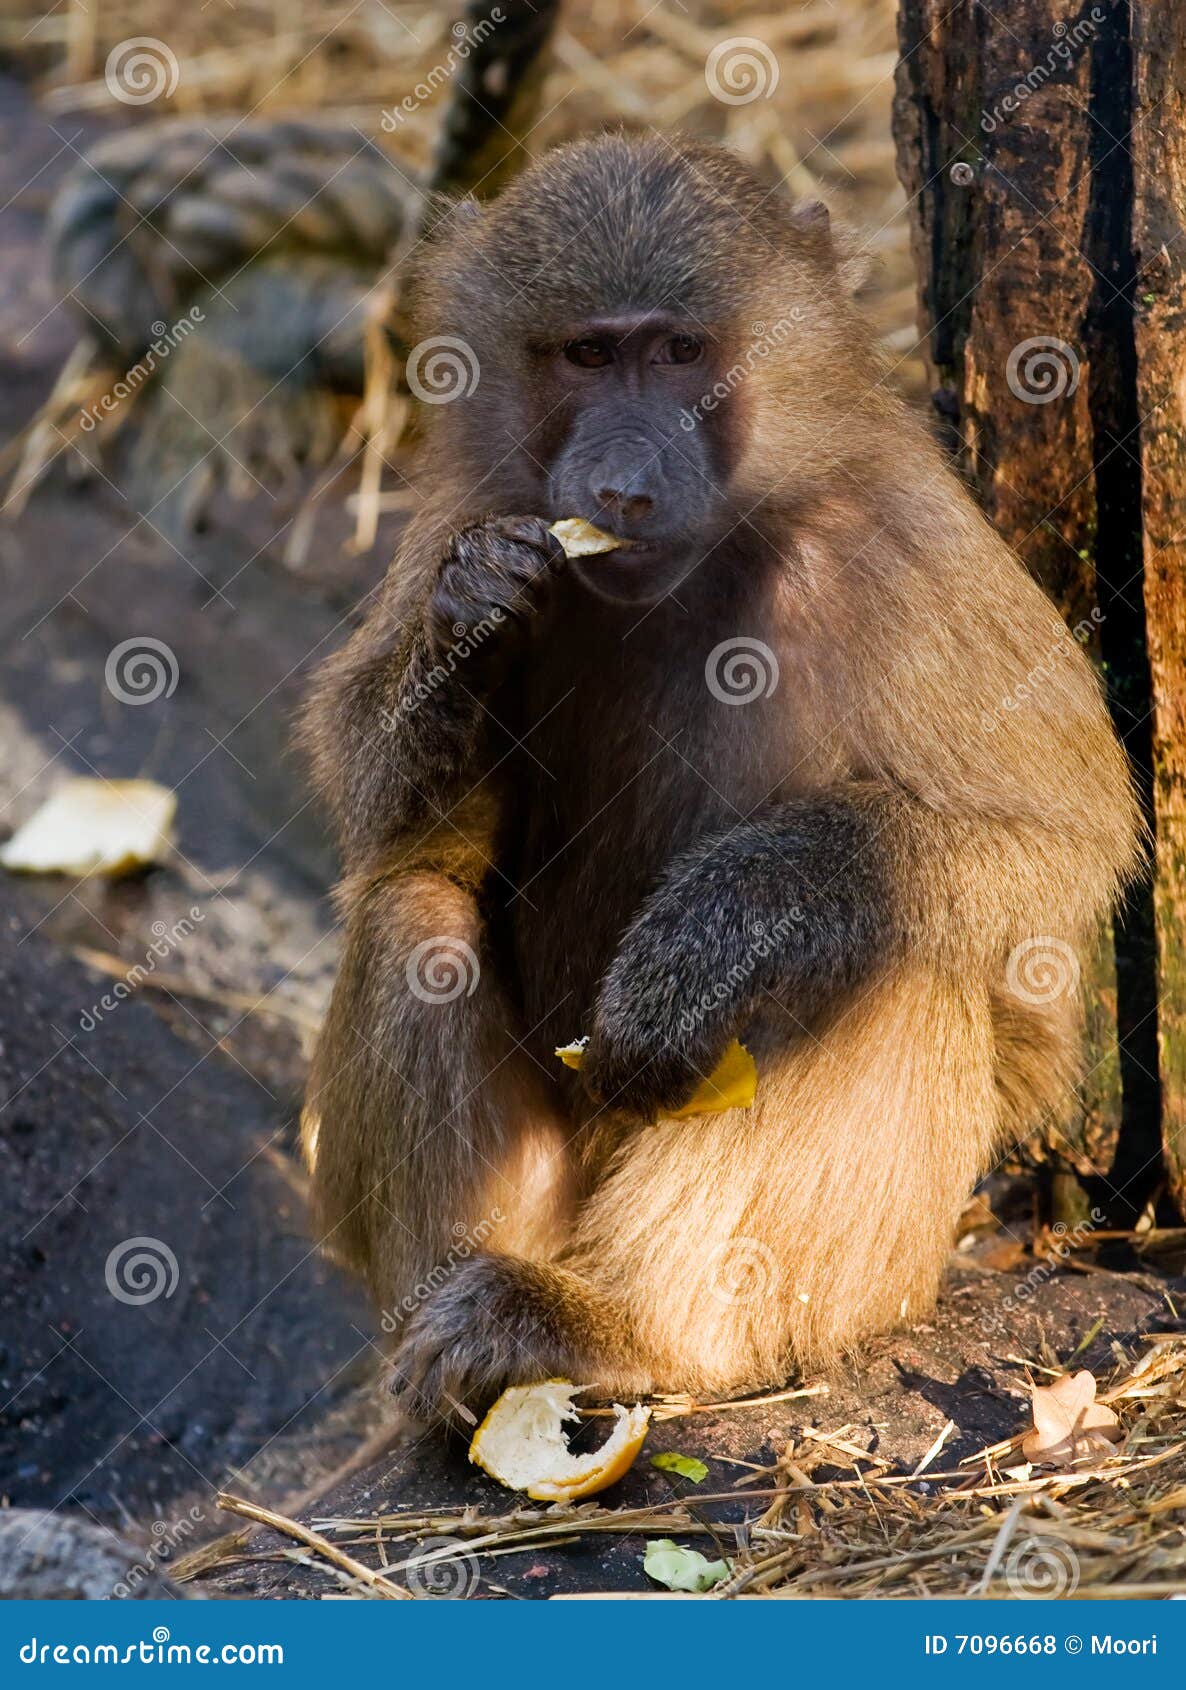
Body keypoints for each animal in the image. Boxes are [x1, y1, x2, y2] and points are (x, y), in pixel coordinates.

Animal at [299, 131, 1141, 1425]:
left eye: (680, 353)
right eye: (590, 355)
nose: (621, 490)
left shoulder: (905, 542)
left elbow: (1061, 839)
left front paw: (718, 927)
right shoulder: (473, 506)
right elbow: (405, 839)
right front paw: (469, 622)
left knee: (882, 954)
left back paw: (621, 1330)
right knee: (417, 916)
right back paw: (468, 1321)